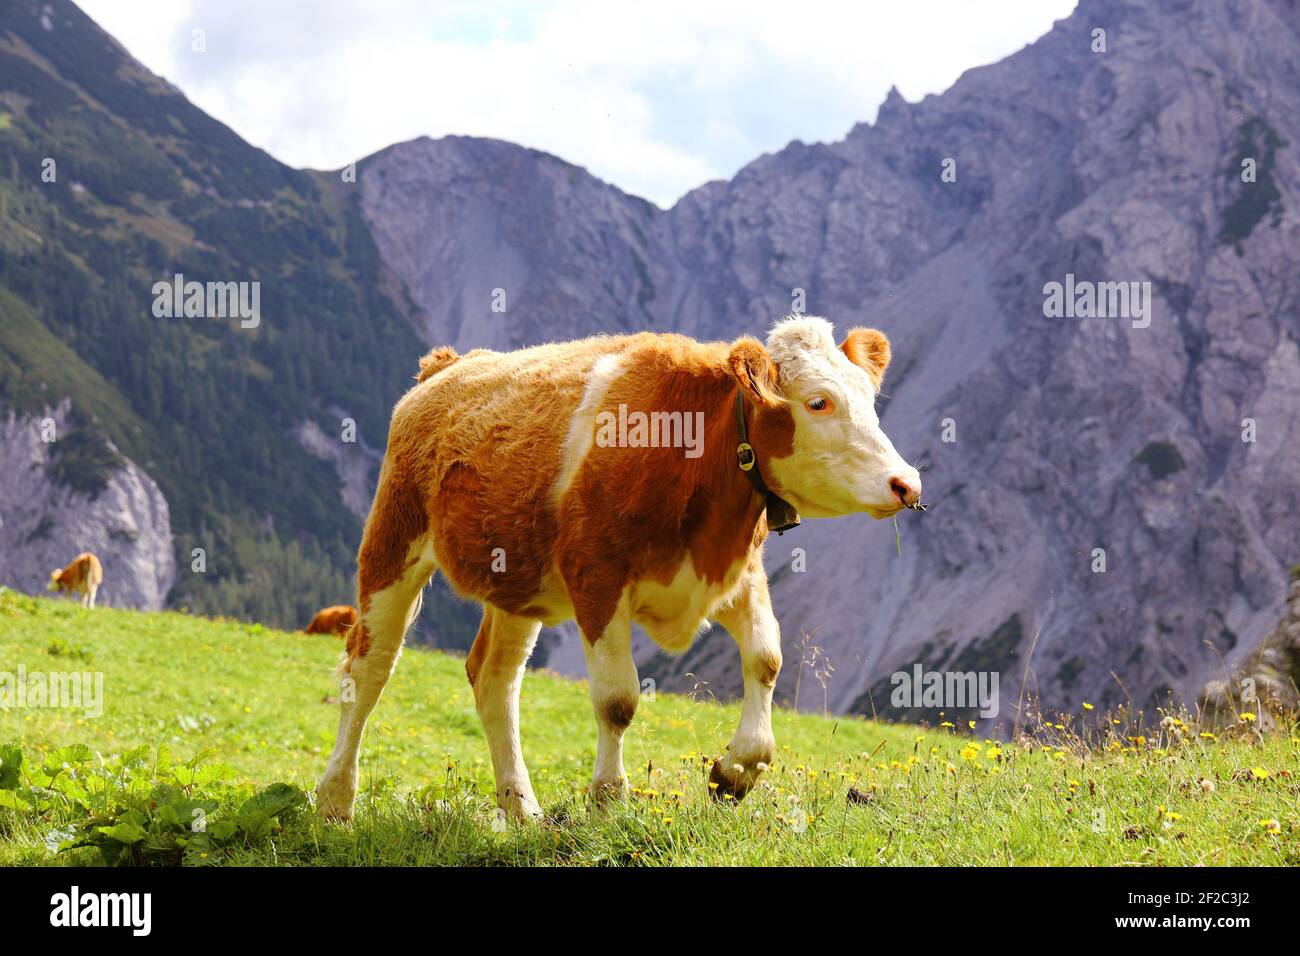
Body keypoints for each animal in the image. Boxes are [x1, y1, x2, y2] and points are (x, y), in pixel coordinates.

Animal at [316, 316, 922, 822]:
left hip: (518, 583)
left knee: (493, 679)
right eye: (818, 402)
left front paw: (735, 772)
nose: (907, 483)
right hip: (393, 543)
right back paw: (335, 803)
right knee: (367, 671)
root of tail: (448, 365)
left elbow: (767, 659)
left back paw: (522, 809)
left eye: (869, 399)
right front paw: (609, 799)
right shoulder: (597, 580)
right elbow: (618, 700)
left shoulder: (735, 576)